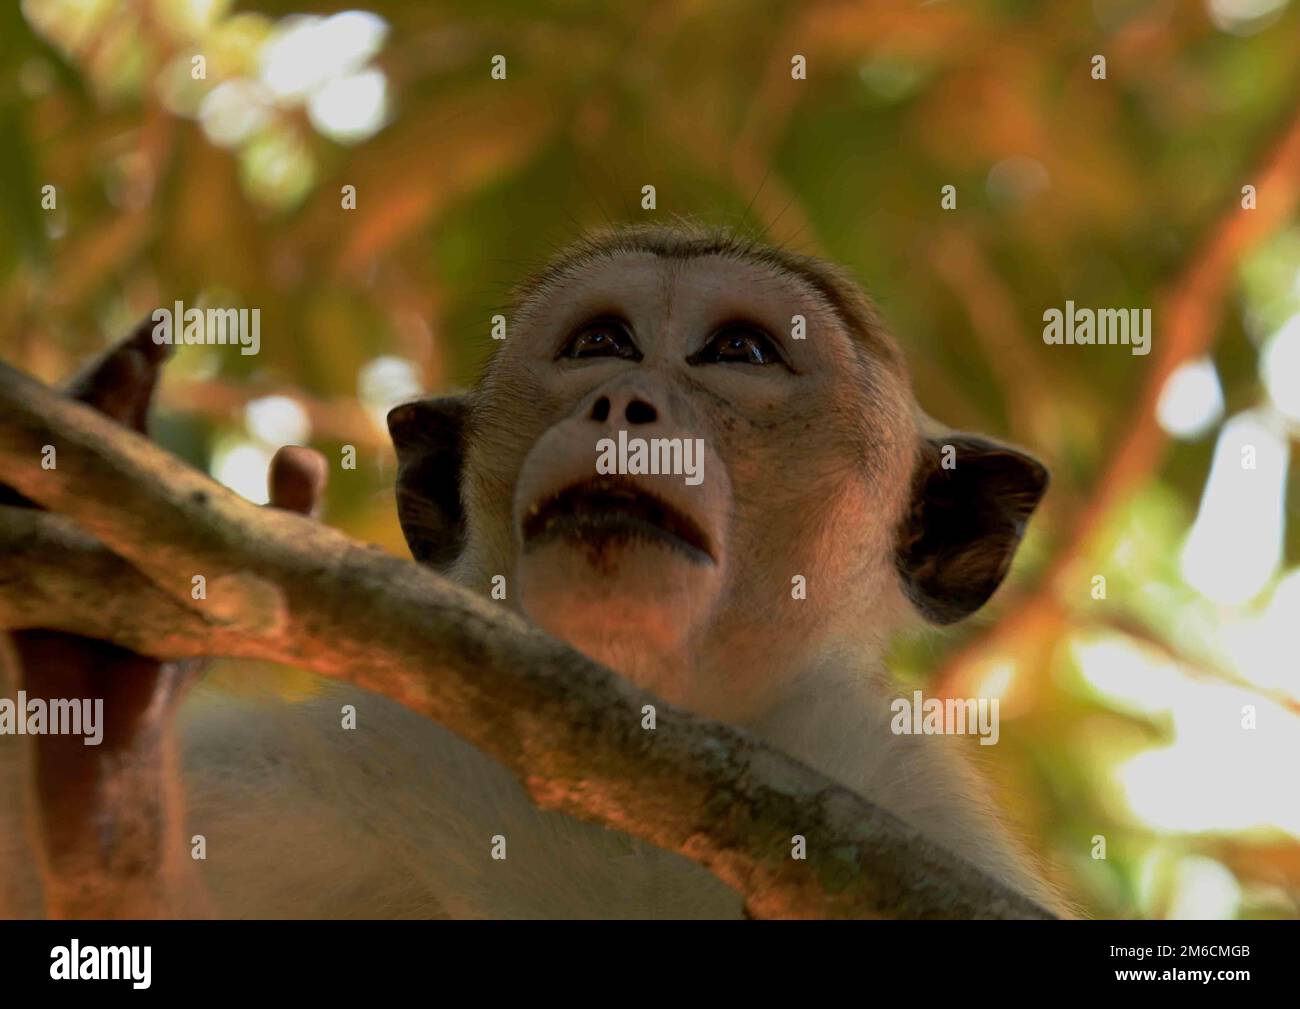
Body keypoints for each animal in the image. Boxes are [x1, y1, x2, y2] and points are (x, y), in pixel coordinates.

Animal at [0, 222, 1059, 918]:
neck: (636, 763)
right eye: (601, 344)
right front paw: (105, 747)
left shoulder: (906, 806)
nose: (622, 403)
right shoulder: (361, 771)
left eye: (739, 350)